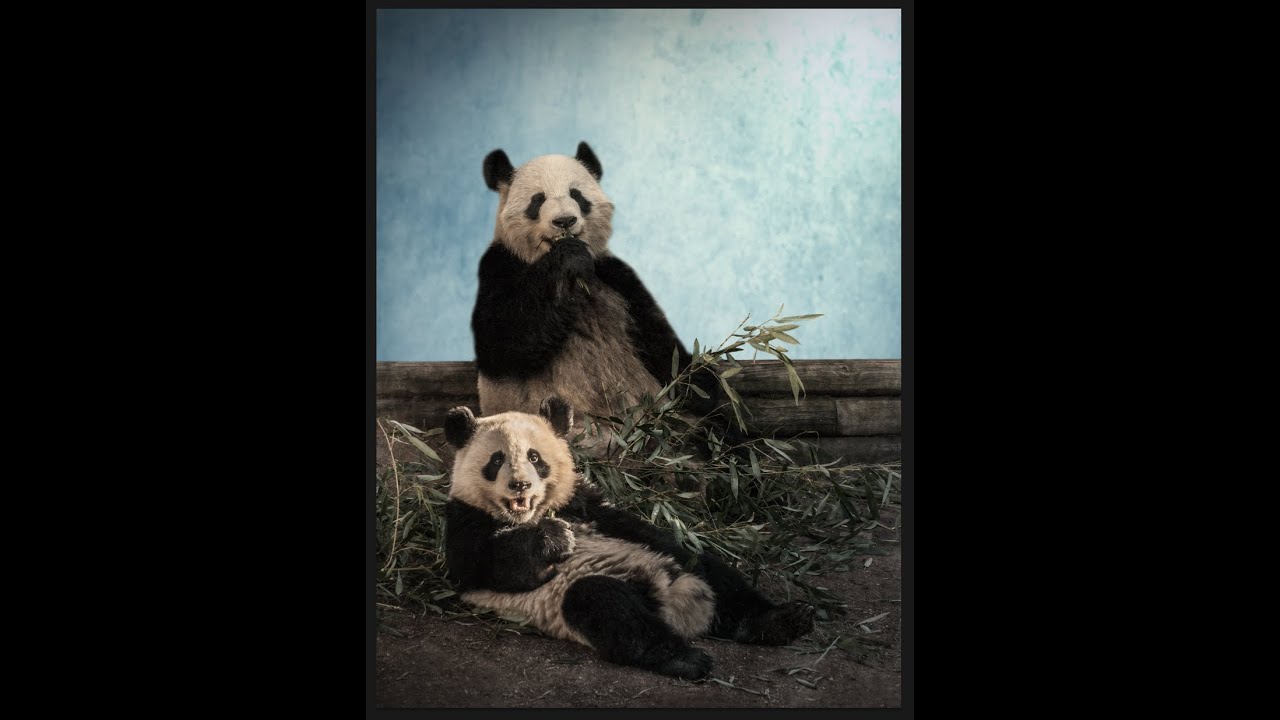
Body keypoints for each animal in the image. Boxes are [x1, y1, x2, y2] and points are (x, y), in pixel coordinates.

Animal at [442, 396, 815, 679]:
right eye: (497, 460)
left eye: (535, 457)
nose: (519, 485)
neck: (529, 514)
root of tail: (675, 600)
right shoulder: (464, 519)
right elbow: (487, 566)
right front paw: (555, 538)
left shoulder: (582, 500)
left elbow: (631, 525)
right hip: (572, 600)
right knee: (608, 608)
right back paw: (685, 659)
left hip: (687, 569)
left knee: (718, 576)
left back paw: (783, 620)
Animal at [472, 142, 737, 450]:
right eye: (537, 200)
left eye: (577, 195)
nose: (565, 220)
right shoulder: (500, 266)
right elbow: (502, 340)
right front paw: (567, 258)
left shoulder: (615, 276)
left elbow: (659, 340)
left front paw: (702, 381)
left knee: (711, 432)